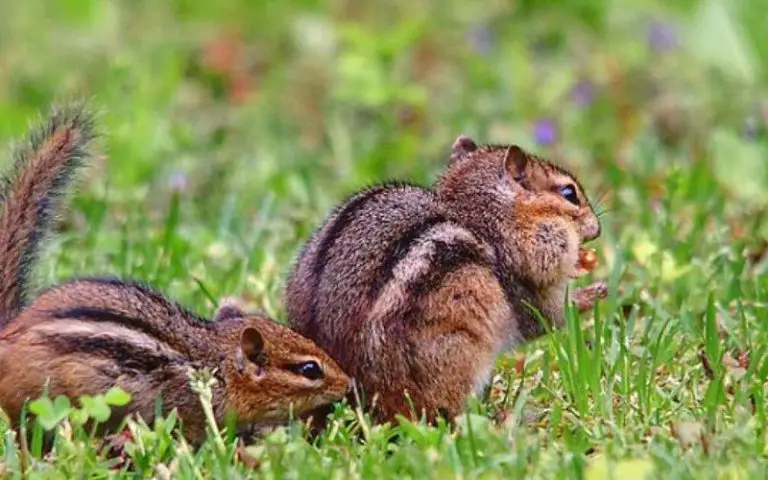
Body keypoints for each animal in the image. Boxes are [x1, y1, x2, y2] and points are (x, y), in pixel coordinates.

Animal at [285, 135, 608, 424]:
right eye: (569, 194)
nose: (598, 228)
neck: (482, 218)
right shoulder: (523, 290)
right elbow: (551, 316)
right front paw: (596, 290)